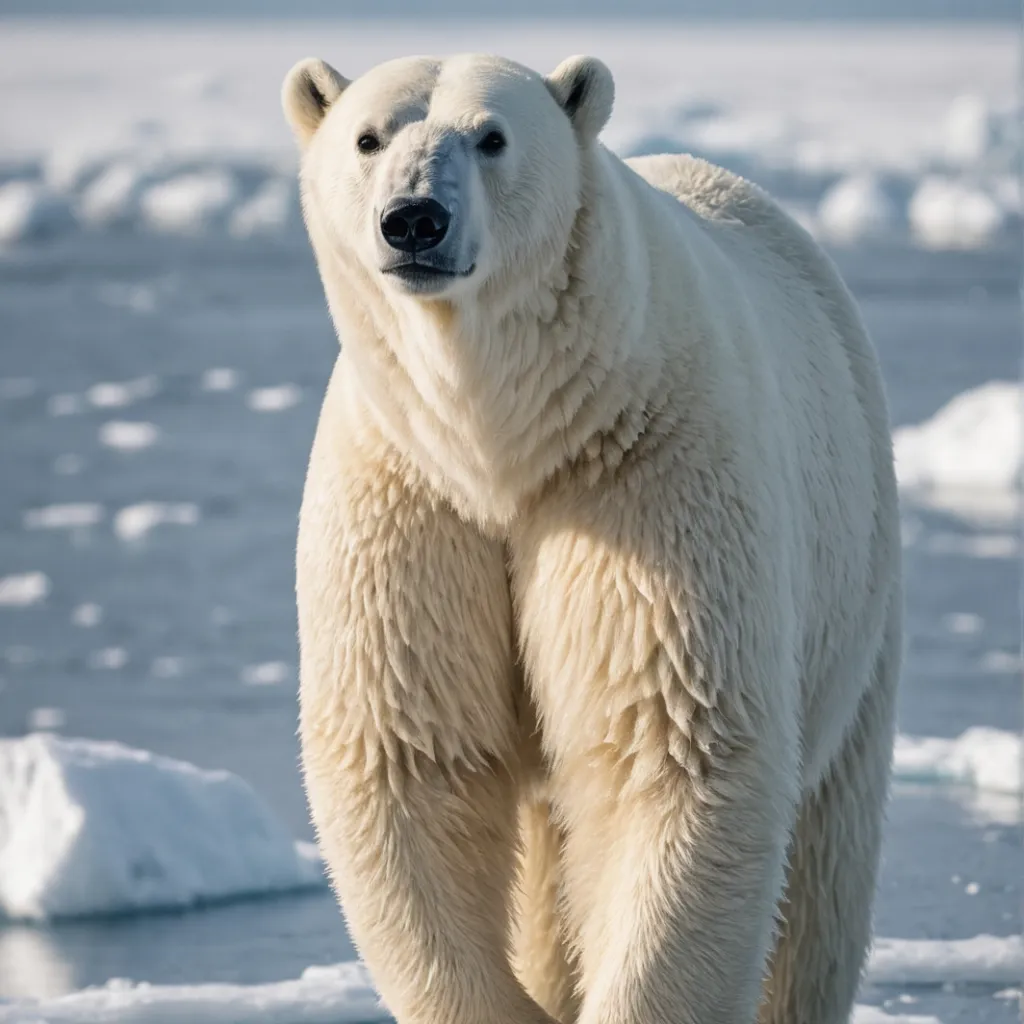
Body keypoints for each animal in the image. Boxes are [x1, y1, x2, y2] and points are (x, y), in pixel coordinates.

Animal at [284, 51, 902, 1024]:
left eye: (491, 136)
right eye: (368, 136)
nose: (414, 219)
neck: (506, 443)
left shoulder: (644, 479)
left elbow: (668, 747)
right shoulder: (410, 501)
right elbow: (412, 754)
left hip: (855, 581)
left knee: (821, 873)